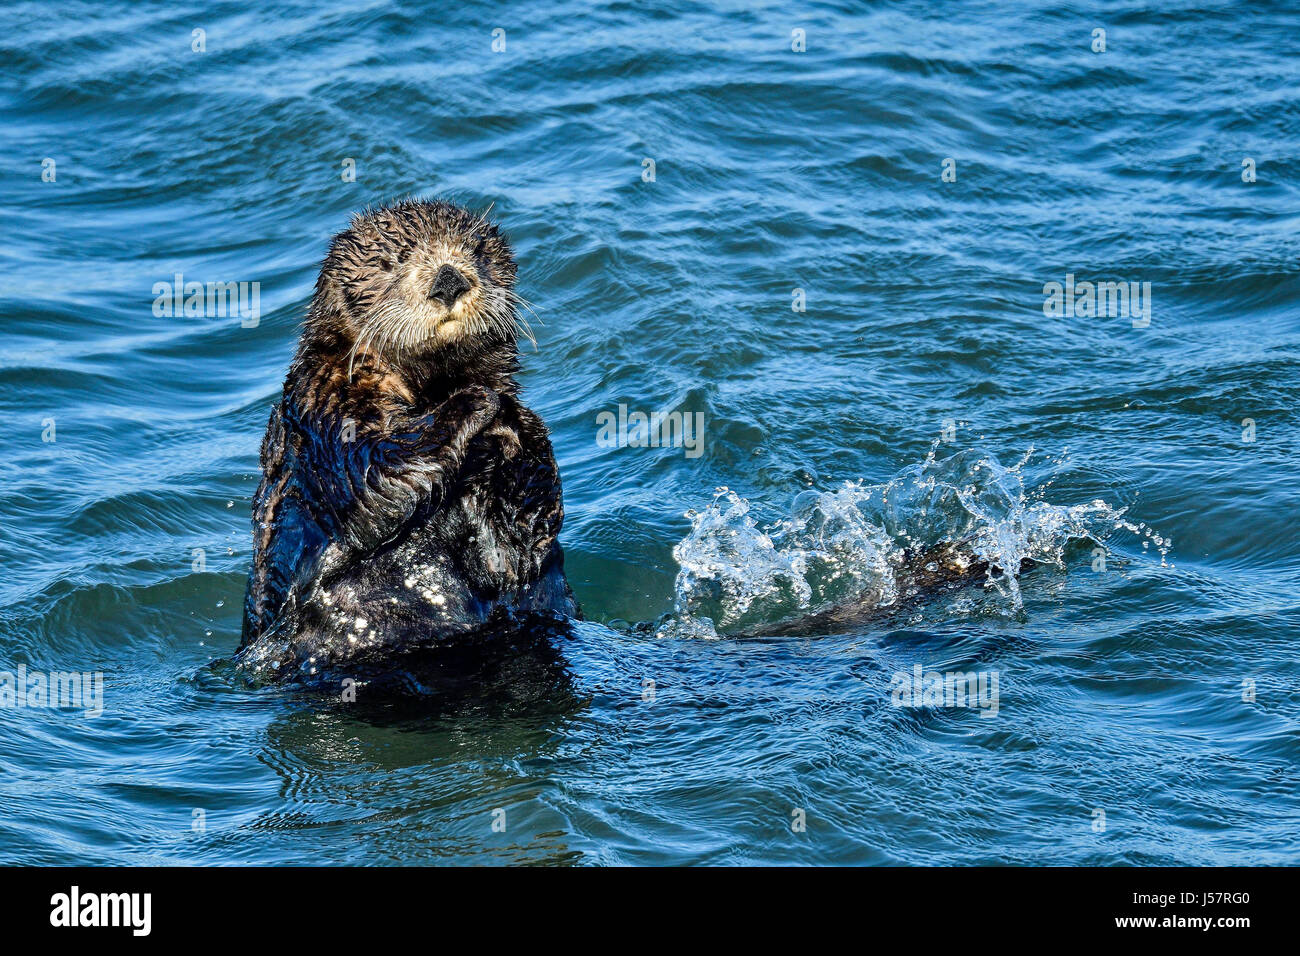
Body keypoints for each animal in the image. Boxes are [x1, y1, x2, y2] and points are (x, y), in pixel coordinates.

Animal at [236, 199, 577, 685]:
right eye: (394, 261)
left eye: (477, 251)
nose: (449, 279)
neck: (427, 387)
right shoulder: (324, 408)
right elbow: (374, 474)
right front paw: (479, 400)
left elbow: (527, 532)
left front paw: (516, 427)